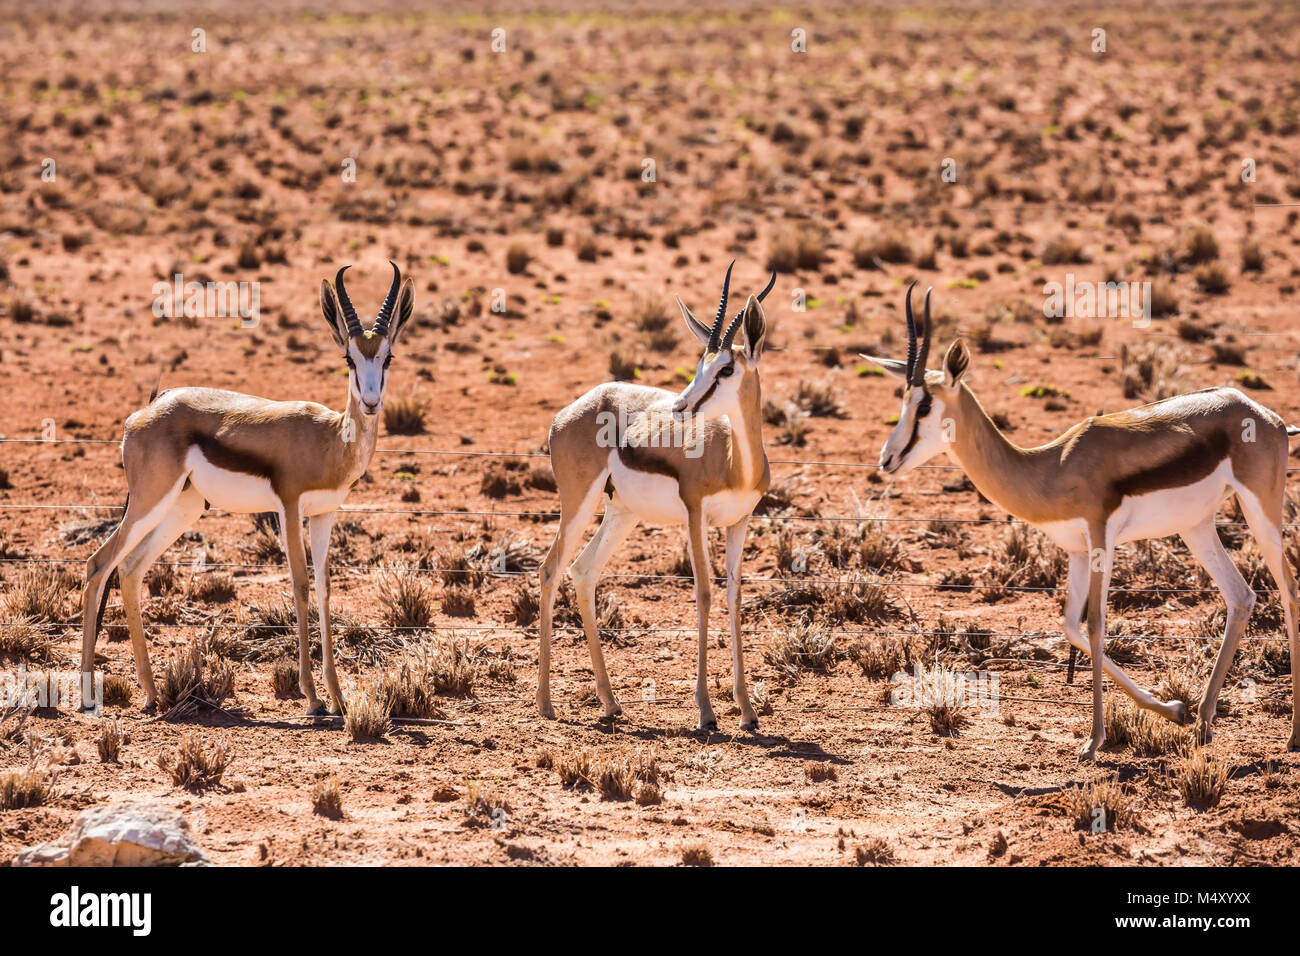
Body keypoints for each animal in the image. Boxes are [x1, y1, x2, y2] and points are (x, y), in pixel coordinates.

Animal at [81, 263, 415, 716]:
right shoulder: (289, 507)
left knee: (130, 569)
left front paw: (339, 698)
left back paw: (151, 693)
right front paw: (312, 698)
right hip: (151, 499)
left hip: (182, 508)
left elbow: (325, 589)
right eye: (349, 357)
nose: (370, 402)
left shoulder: (324, 514)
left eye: (387, 357)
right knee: (99, 564)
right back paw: (87, 695)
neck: (331, 439)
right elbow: (300, 585)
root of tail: (147, 408)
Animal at [537, 264, 776, 732]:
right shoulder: (695, 515)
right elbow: (704, 594)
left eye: (725, 369)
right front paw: (706, 712)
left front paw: (747, 711)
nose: (681, 406)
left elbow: (734, 596)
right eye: (701, 364)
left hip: (622, 513)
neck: (735, 459)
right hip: (578, 503)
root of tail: (567, 412)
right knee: (550, 568)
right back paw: (545, 704)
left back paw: (611, 703)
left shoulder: (740, 522)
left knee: (583, 571)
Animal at [864, 284, 1300, 760]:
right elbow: (1071, 628)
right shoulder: (1074, 549)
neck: (1050, 465)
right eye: (903, 401)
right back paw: (1202, 721)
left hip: (1260, 512)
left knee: (1288, 592)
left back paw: (1292, 734)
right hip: (1196, 527)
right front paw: (1173, 710)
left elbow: (1094, 627)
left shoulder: (1099, 539)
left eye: (925, 403)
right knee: (1242, 597)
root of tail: (1264, 414)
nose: (887, 459)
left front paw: (1093, 742)